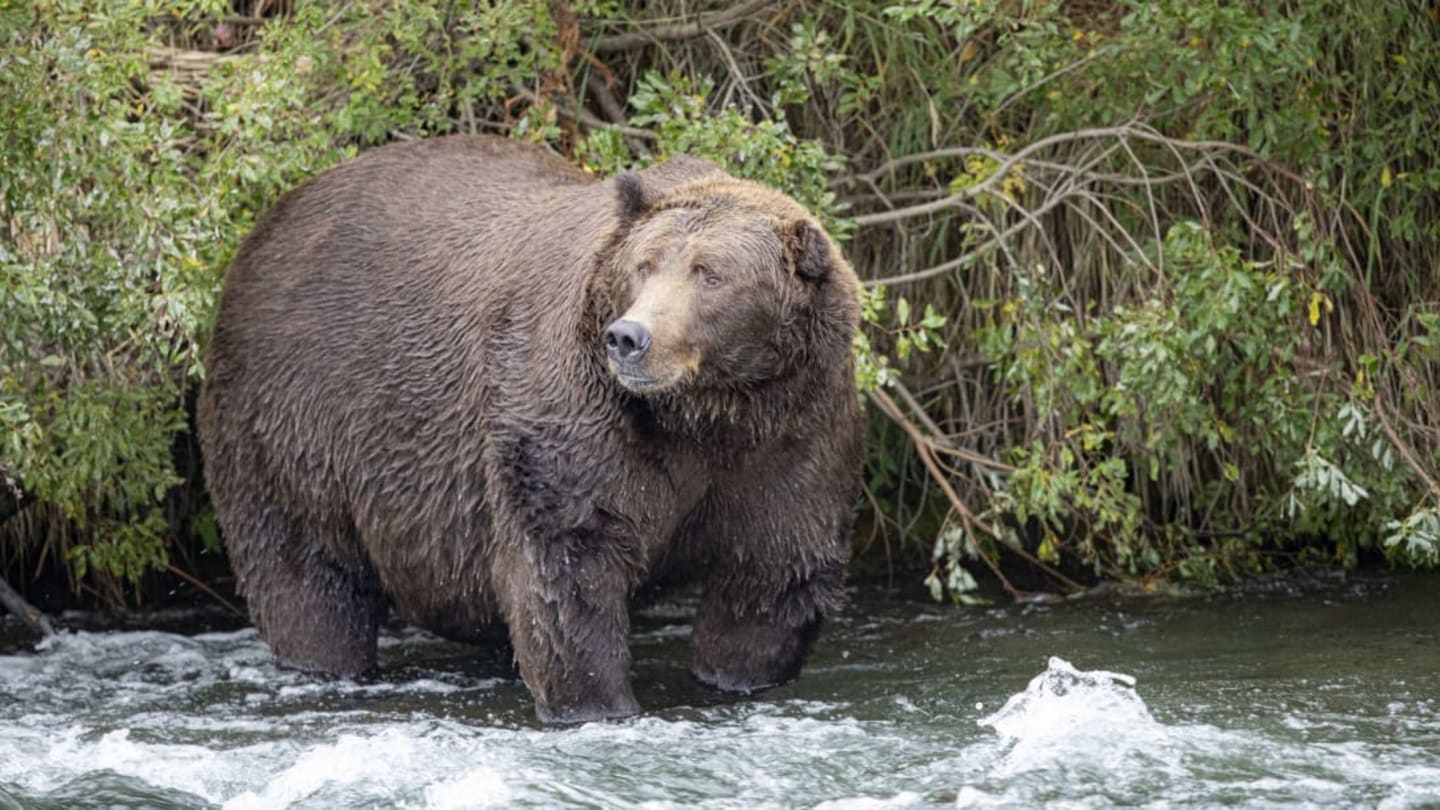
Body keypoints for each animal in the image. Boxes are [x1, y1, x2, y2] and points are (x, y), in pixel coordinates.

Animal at [196, 134, 862, 724]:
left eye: (711, 273)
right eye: (644, 265)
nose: (629, 337)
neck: (708, 413)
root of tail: (266, 225)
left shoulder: (793, 436)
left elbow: (772, 570)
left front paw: (737, 674)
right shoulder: (580, 416)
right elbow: (569, 564)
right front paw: (597, 704)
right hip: (293, 419)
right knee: (305, 573)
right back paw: (325, 662)